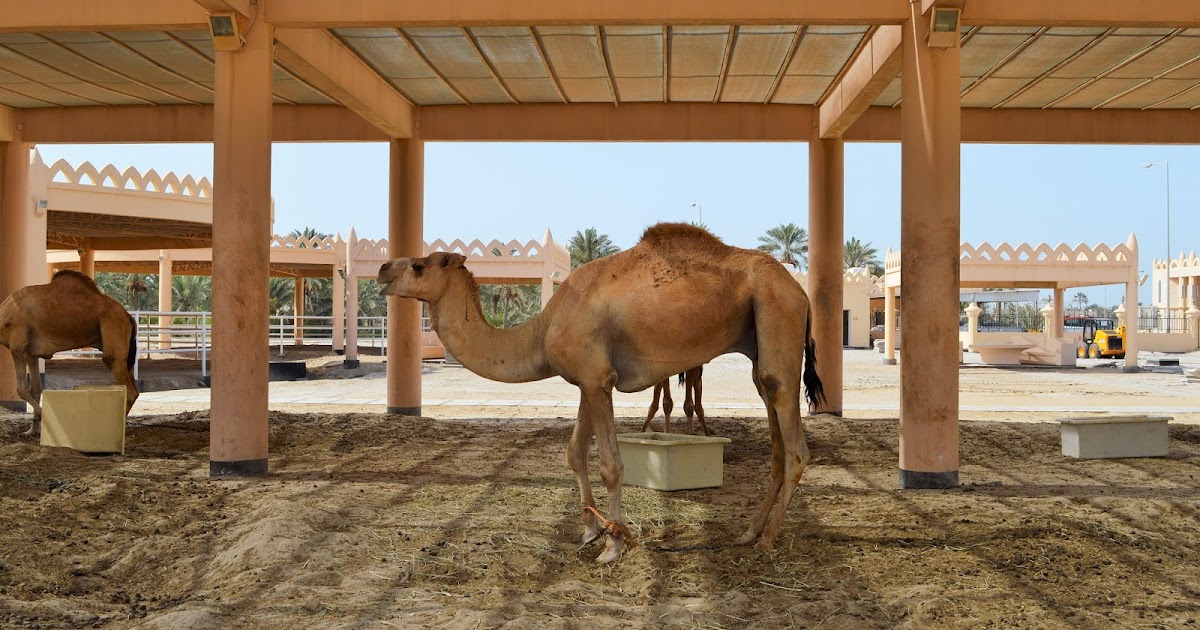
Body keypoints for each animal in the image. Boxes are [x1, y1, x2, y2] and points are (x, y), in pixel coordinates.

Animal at [0, 270, 139, 436]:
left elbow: (22, 390)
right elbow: (36, 389)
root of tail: (128, 316)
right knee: (134, 388)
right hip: (126, 350)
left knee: (126, 385)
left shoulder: (17, 347)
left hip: (113, 326)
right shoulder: (30, 353)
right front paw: (32, 430)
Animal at [378, 223, 823, 564]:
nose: (383, 268)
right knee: (775, 434)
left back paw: (769, 538)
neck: (543, 327)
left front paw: (612, 545)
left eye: (418, 265)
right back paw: (749, 532)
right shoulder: (586, 381)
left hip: (776, 311)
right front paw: (590, 529)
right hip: (759, 341)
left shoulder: (597, 378)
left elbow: (611, 465)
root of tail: (800, 291)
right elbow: (574, 452)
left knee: (795, 441)